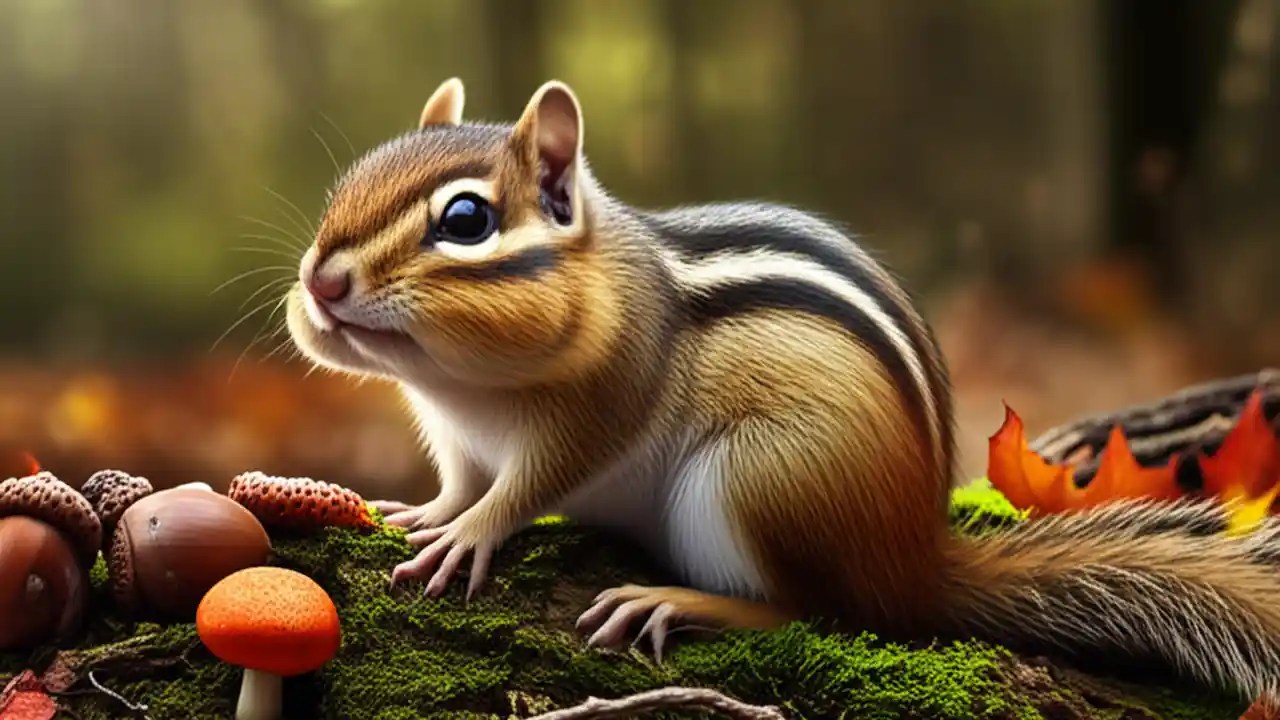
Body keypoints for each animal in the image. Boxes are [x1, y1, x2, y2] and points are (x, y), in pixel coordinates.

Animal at [284, 77, 1280, 701]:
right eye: (351, 176)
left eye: (465, 219)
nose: (319, 283)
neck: (457, 384)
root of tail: (914, 558)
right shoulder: (452, 435)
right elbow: (457, 480)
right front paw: (422, 511)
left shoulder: (608, 401)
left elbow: (530, 485)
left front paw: (470, 535)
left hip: (753, 483)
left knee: (816, 612)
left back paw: (680, 601)